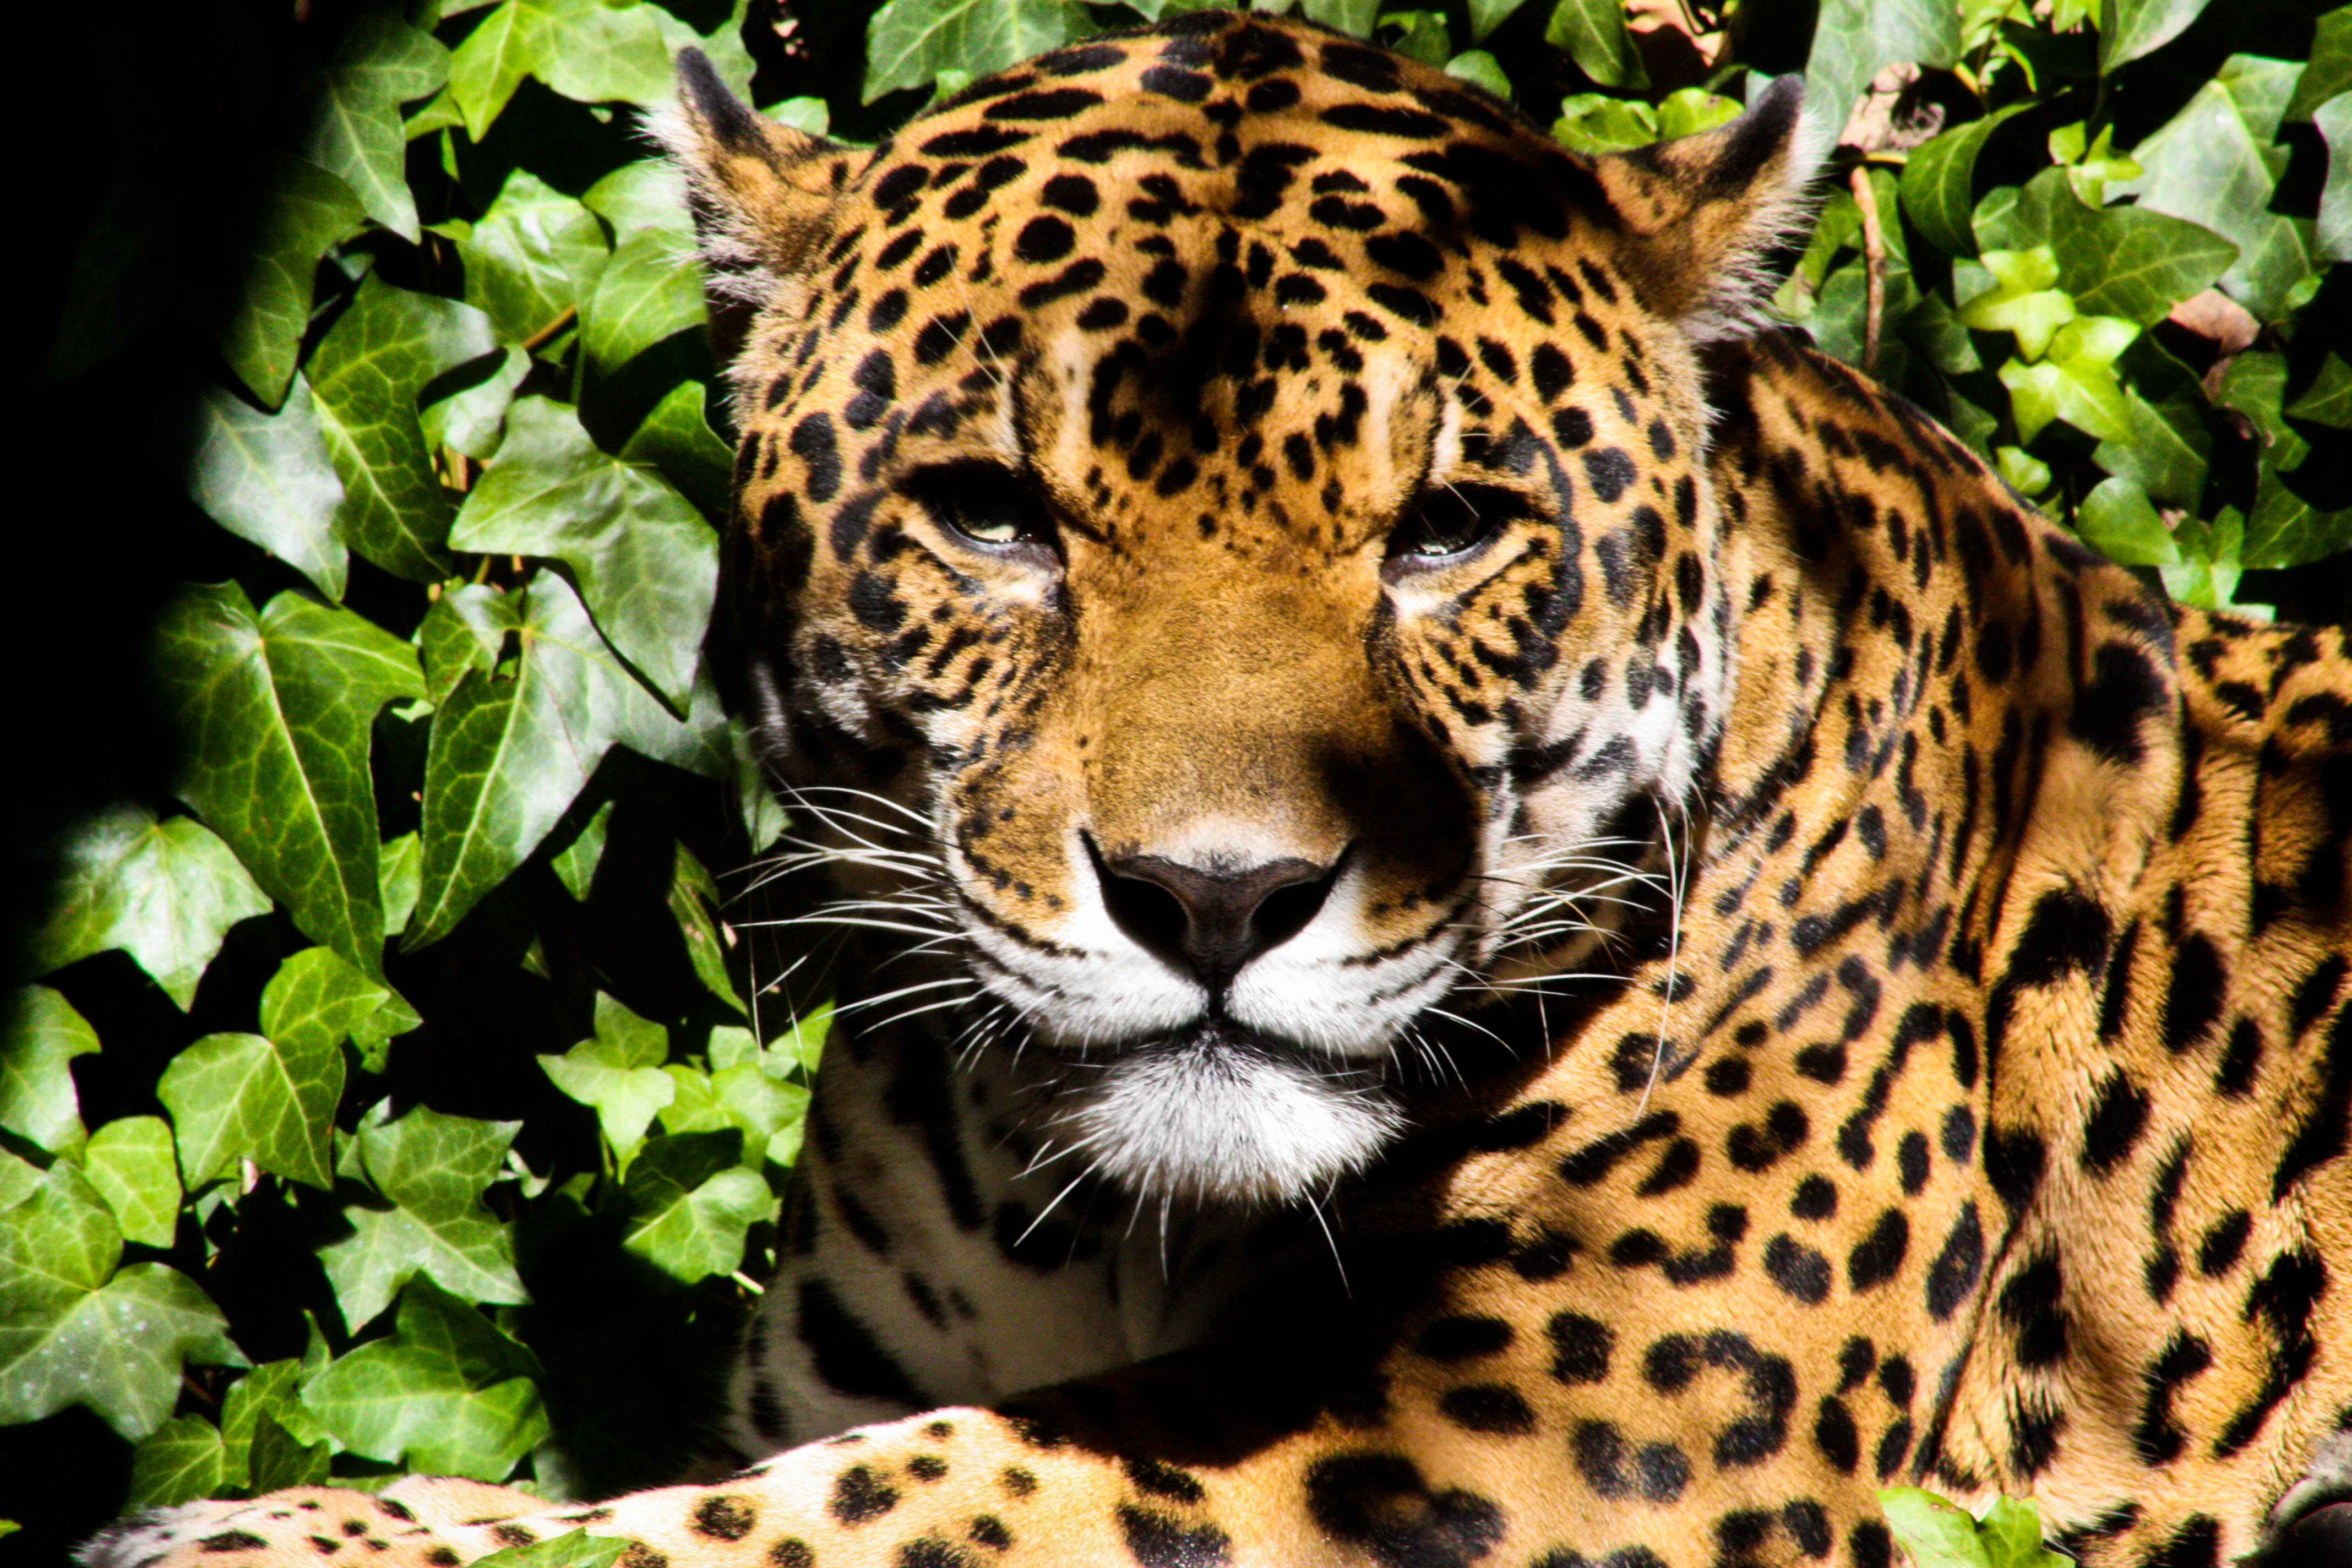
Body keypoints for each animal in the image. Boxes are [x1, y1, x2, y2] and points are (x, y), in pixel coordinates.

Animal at [83, 11, 2352, 1568]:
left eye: (1450, 529)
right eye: (991, 517)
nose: (1216, 895)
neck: (1118, 1225)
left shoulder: (1536, 1426)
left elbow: (891, 1501)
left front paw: (274, 1527)